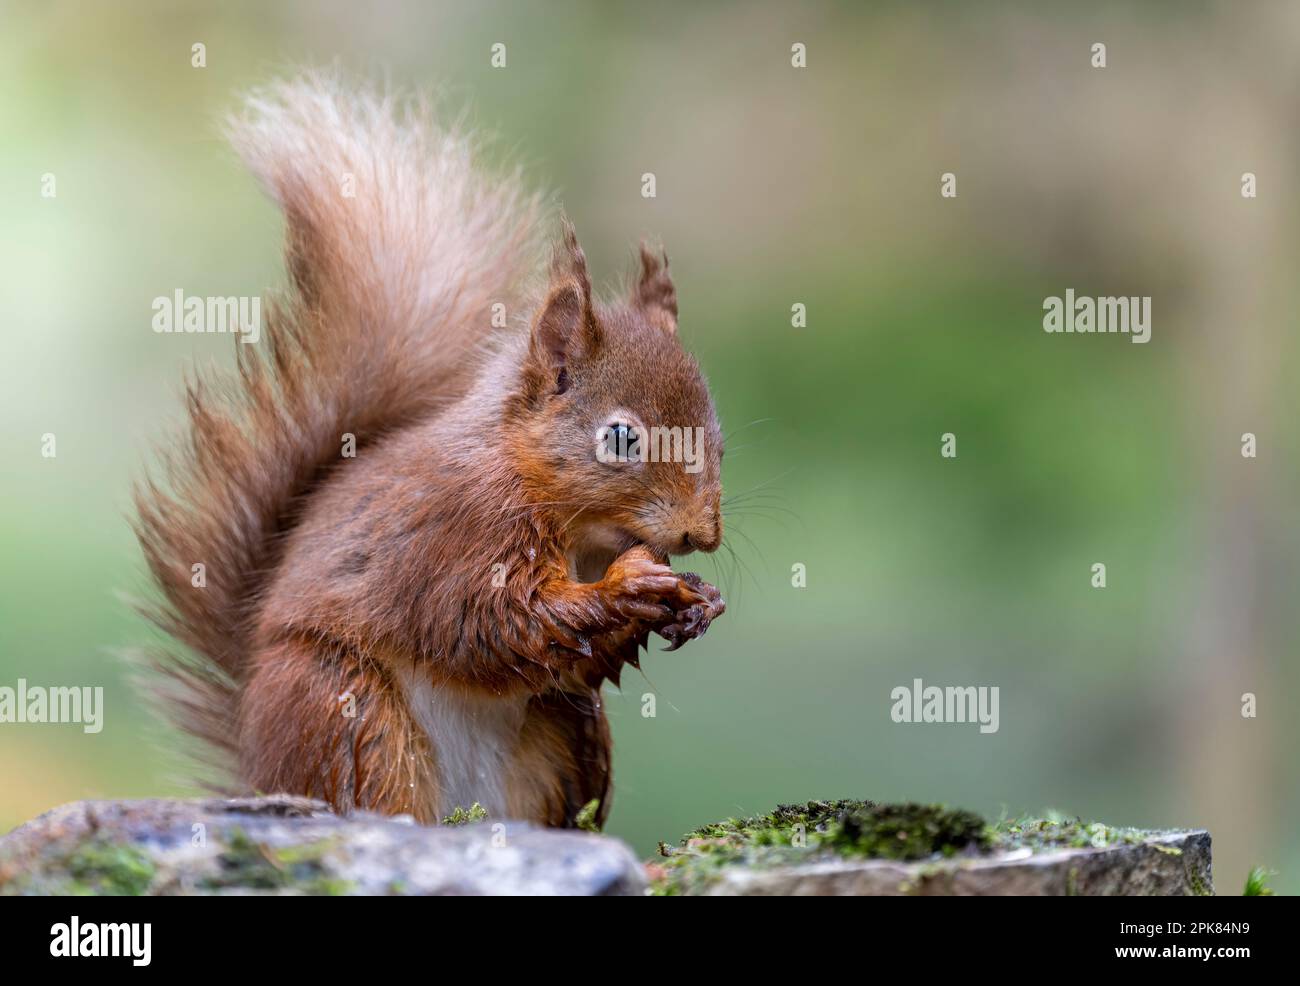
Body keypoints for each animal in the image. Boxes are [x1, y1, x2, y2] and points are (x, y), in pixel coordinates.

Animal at [133, 76, 726, 830]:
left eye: (721, 438)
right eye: (622, 438)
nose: (701, 534)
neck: (578, 529)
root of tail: (255, 760)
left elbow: (572, 659)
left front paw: (700, 601)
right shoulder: (457, 535)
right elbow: (486, 625)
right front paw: (631, 585)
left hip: (572, 734)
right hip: (343, 707)